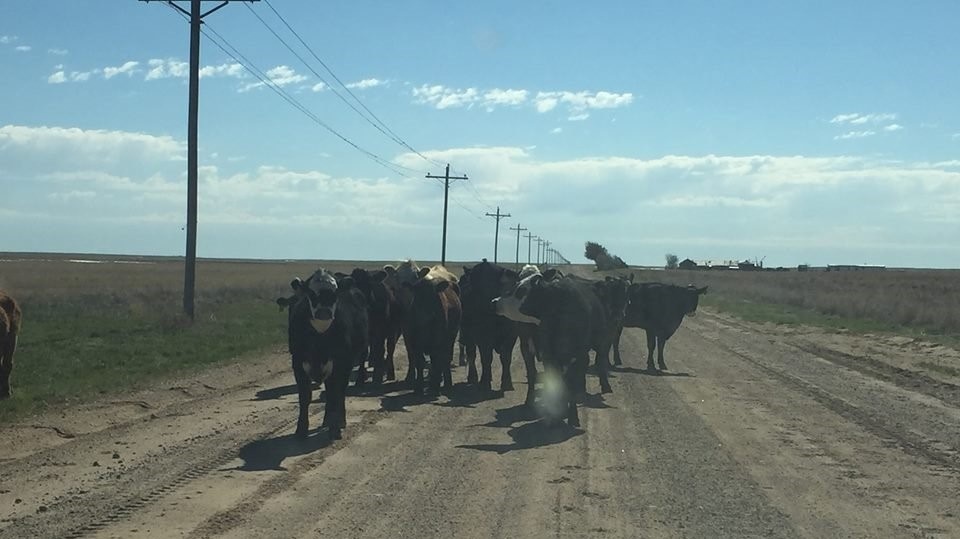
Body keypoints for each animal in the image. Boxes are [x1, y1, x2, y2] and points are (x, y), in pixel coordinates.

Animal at [276, 269, 369, 439]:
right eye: (311, 293)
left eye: (335, 293)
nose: (324, 312)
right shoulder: (297, 362)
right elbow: (304, 396)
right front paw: (301, 430)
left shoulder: (341, 363)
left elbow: (336, 394)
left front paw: (335, 427)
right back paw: (327, 419)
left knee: (338, 392)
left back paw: (339, 420)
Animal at [404, 265, 461, 394]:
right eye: (417, 296)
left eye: (434, 296)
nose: (427, 315)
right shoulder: (415, 343)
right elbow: (419, 362)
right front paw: (418, 387)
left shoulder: (438, 341)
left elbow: (436, 361)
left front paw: (434, 387)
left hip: (450, 338)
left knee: (445, 359)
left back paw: (446, 383)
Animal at [459, 260, 519, 393]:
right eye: (474, 284)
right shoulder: (483, 336)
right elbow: (486, 357)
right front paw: (484, 382)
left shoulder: (511, 335)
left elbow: (506, 357)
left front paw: (507, 383)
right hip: (467, 335)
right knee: (471, 354)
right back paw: (473, 377)